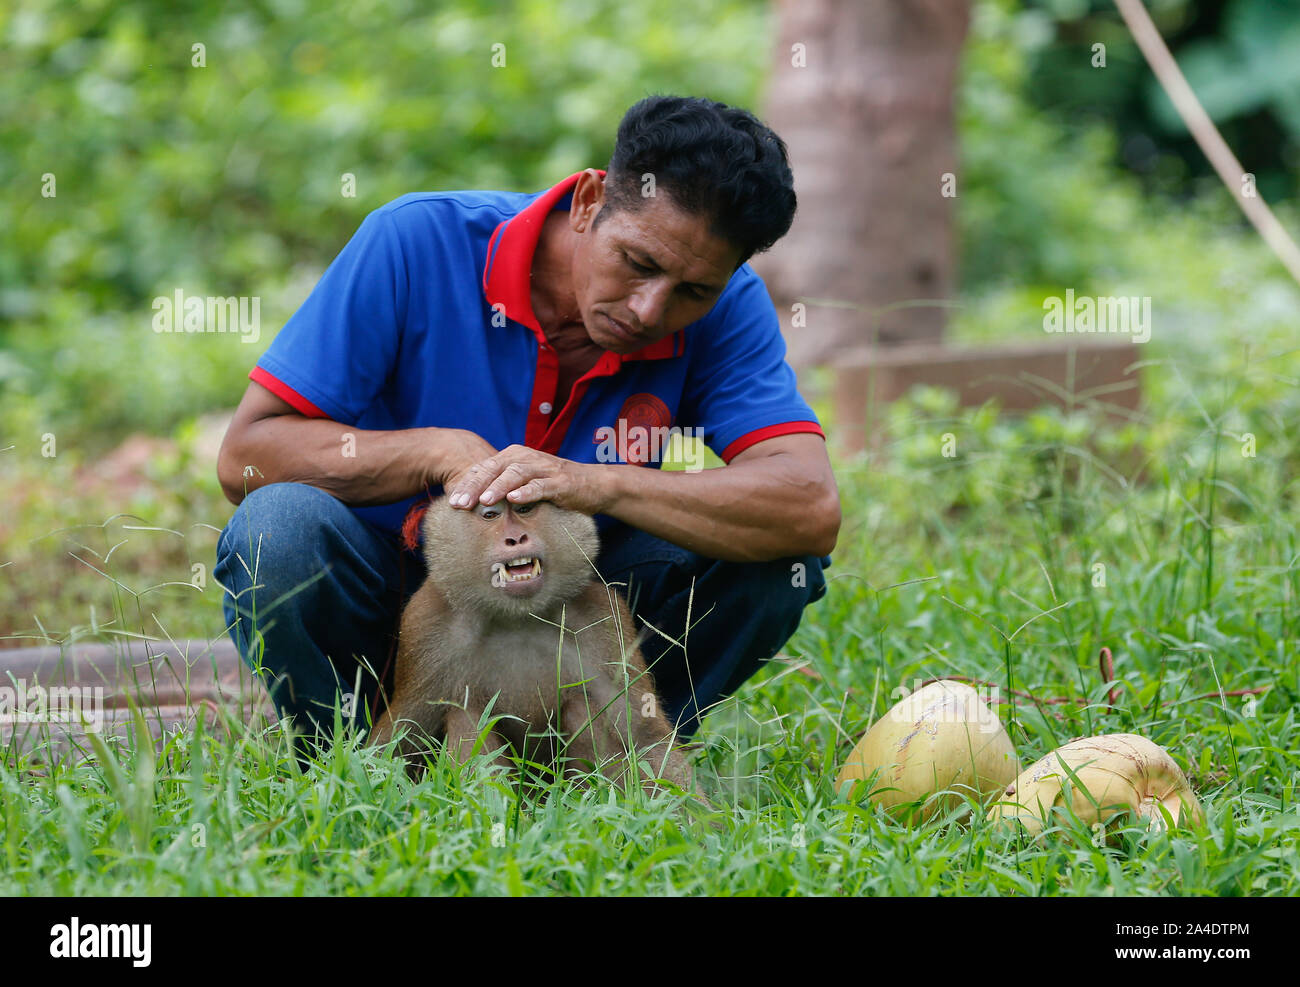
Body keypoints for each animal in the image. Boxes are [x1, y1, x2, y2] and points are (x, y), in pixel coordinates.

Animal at [369, 495, 699, 797]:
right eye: (490, 515)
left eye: (525, 509)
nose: (516, 538)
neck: (517, 617)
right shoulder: (427, 627)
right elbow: (400, 740)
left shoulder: (604, 619)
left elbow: (646, 738)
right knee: (466, 715)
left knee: (581, 708)